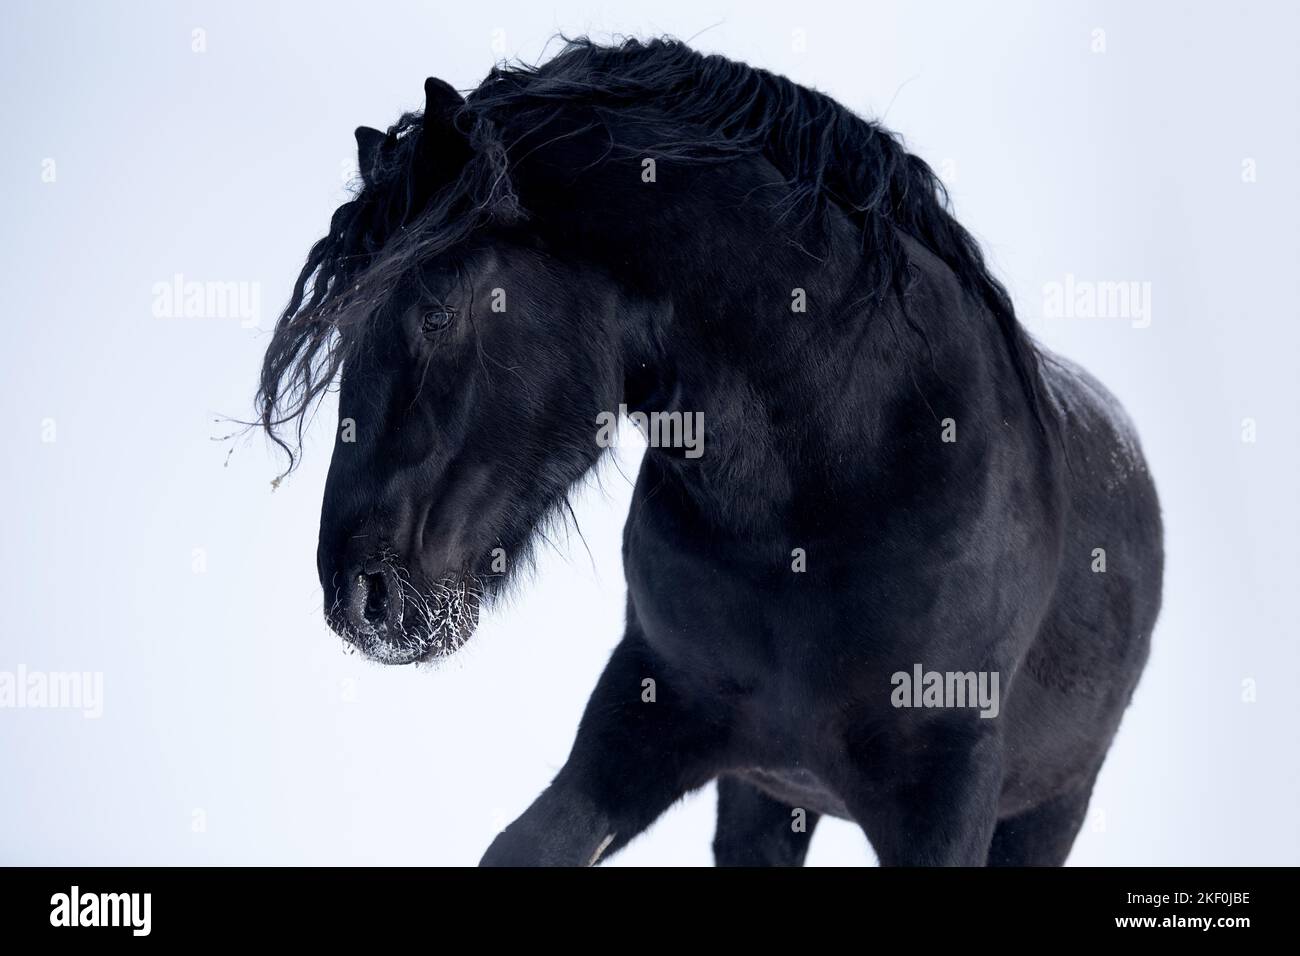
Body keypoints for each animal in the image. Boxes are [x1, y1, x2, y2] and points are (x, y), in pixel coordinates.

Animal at [257, 37, 1163, 866]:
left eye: (436, 310)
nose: (359, 598)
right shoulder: (646, 717)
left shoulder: (946, 788)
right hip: (766, 795)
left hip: (1047, 809)